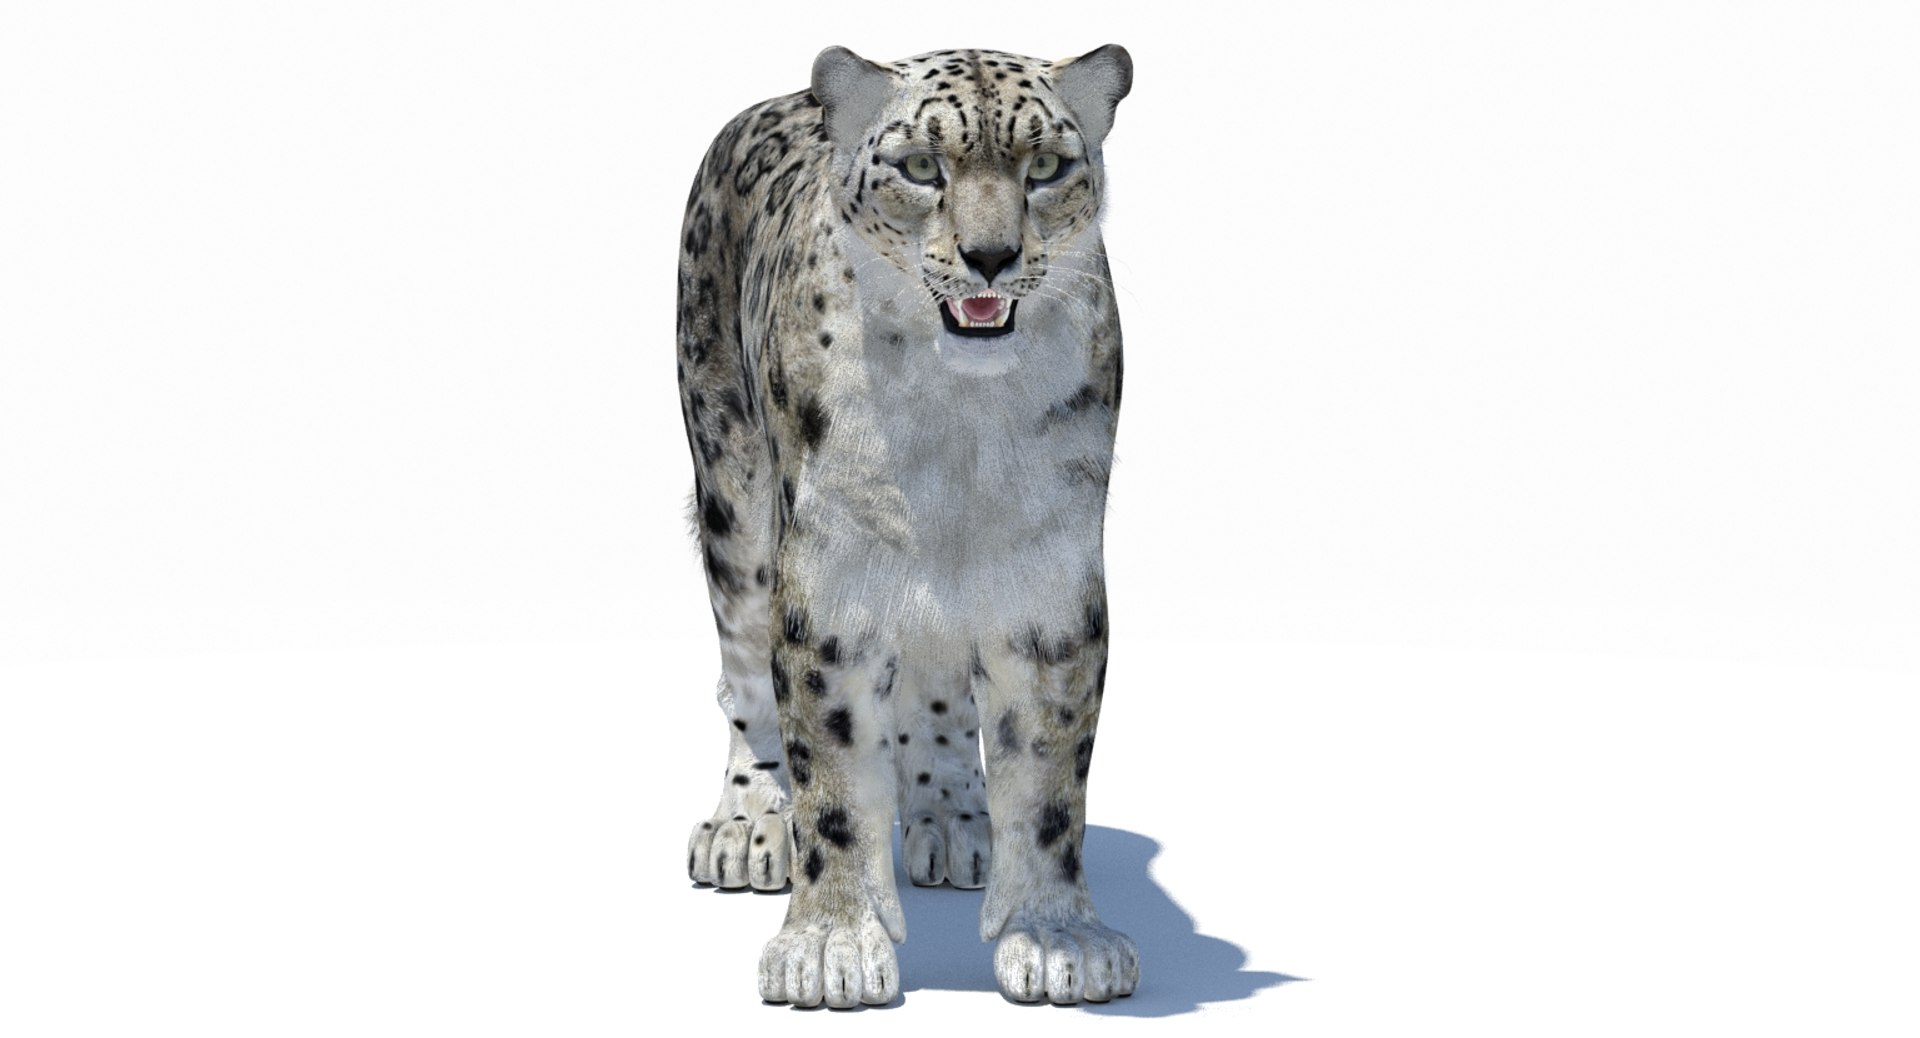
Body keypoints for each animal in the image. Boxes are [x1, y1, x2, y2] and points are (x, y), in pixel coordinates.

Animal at [675, 44, 1135, 1008]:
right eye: (922, 167)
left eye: (1045, 166)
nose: (992, 256)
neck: (956, 425)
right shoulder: (832, 577)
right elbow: (830, 769)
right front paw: (830, 948)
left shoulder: (1051, 578)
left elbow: (1050, 771)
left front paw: (1058, 940)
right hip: (733, 502)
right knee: (743, 676)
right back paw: (747, 825)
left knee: (938, 679)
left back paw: (957, 819)